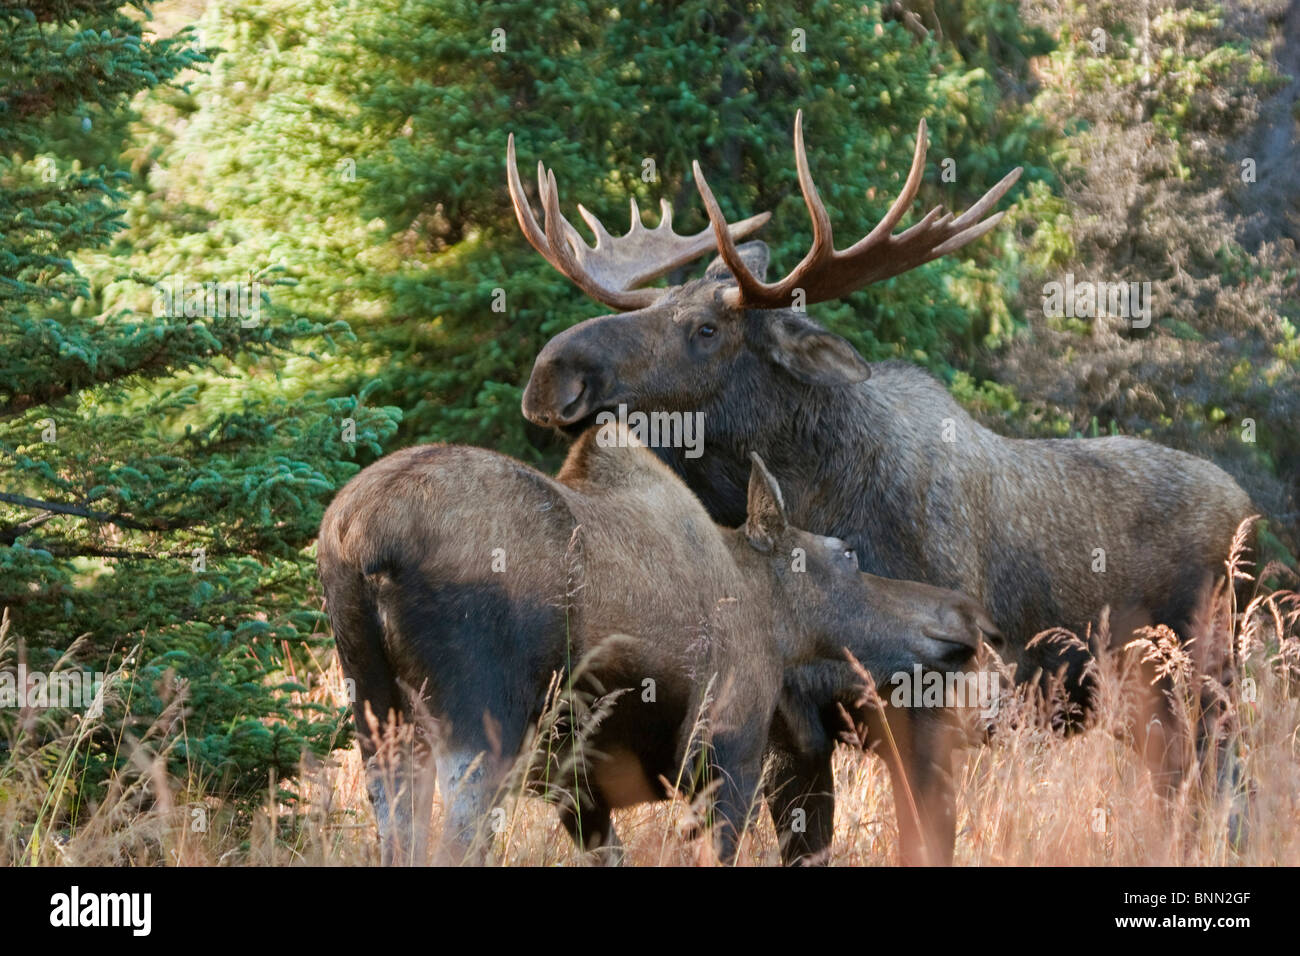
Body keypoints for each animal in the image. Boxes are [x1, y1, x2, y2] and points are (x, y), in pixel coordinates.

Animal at [317, 422, 995, 865]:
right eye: (846, 553)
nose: (970, 615)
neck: (770, 618)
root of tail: (358, 541)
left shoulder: (578, 786)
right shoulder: (727, 751)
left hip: (378, 715)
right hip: (481, 720)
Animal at [509, 111, 1256, 865]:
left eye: (706, 328)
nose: (551, 372)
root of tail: (1245, 507)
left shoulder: (931, 715)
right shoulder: (790, 732)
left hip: (1204, 688)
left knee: (1224, 800)